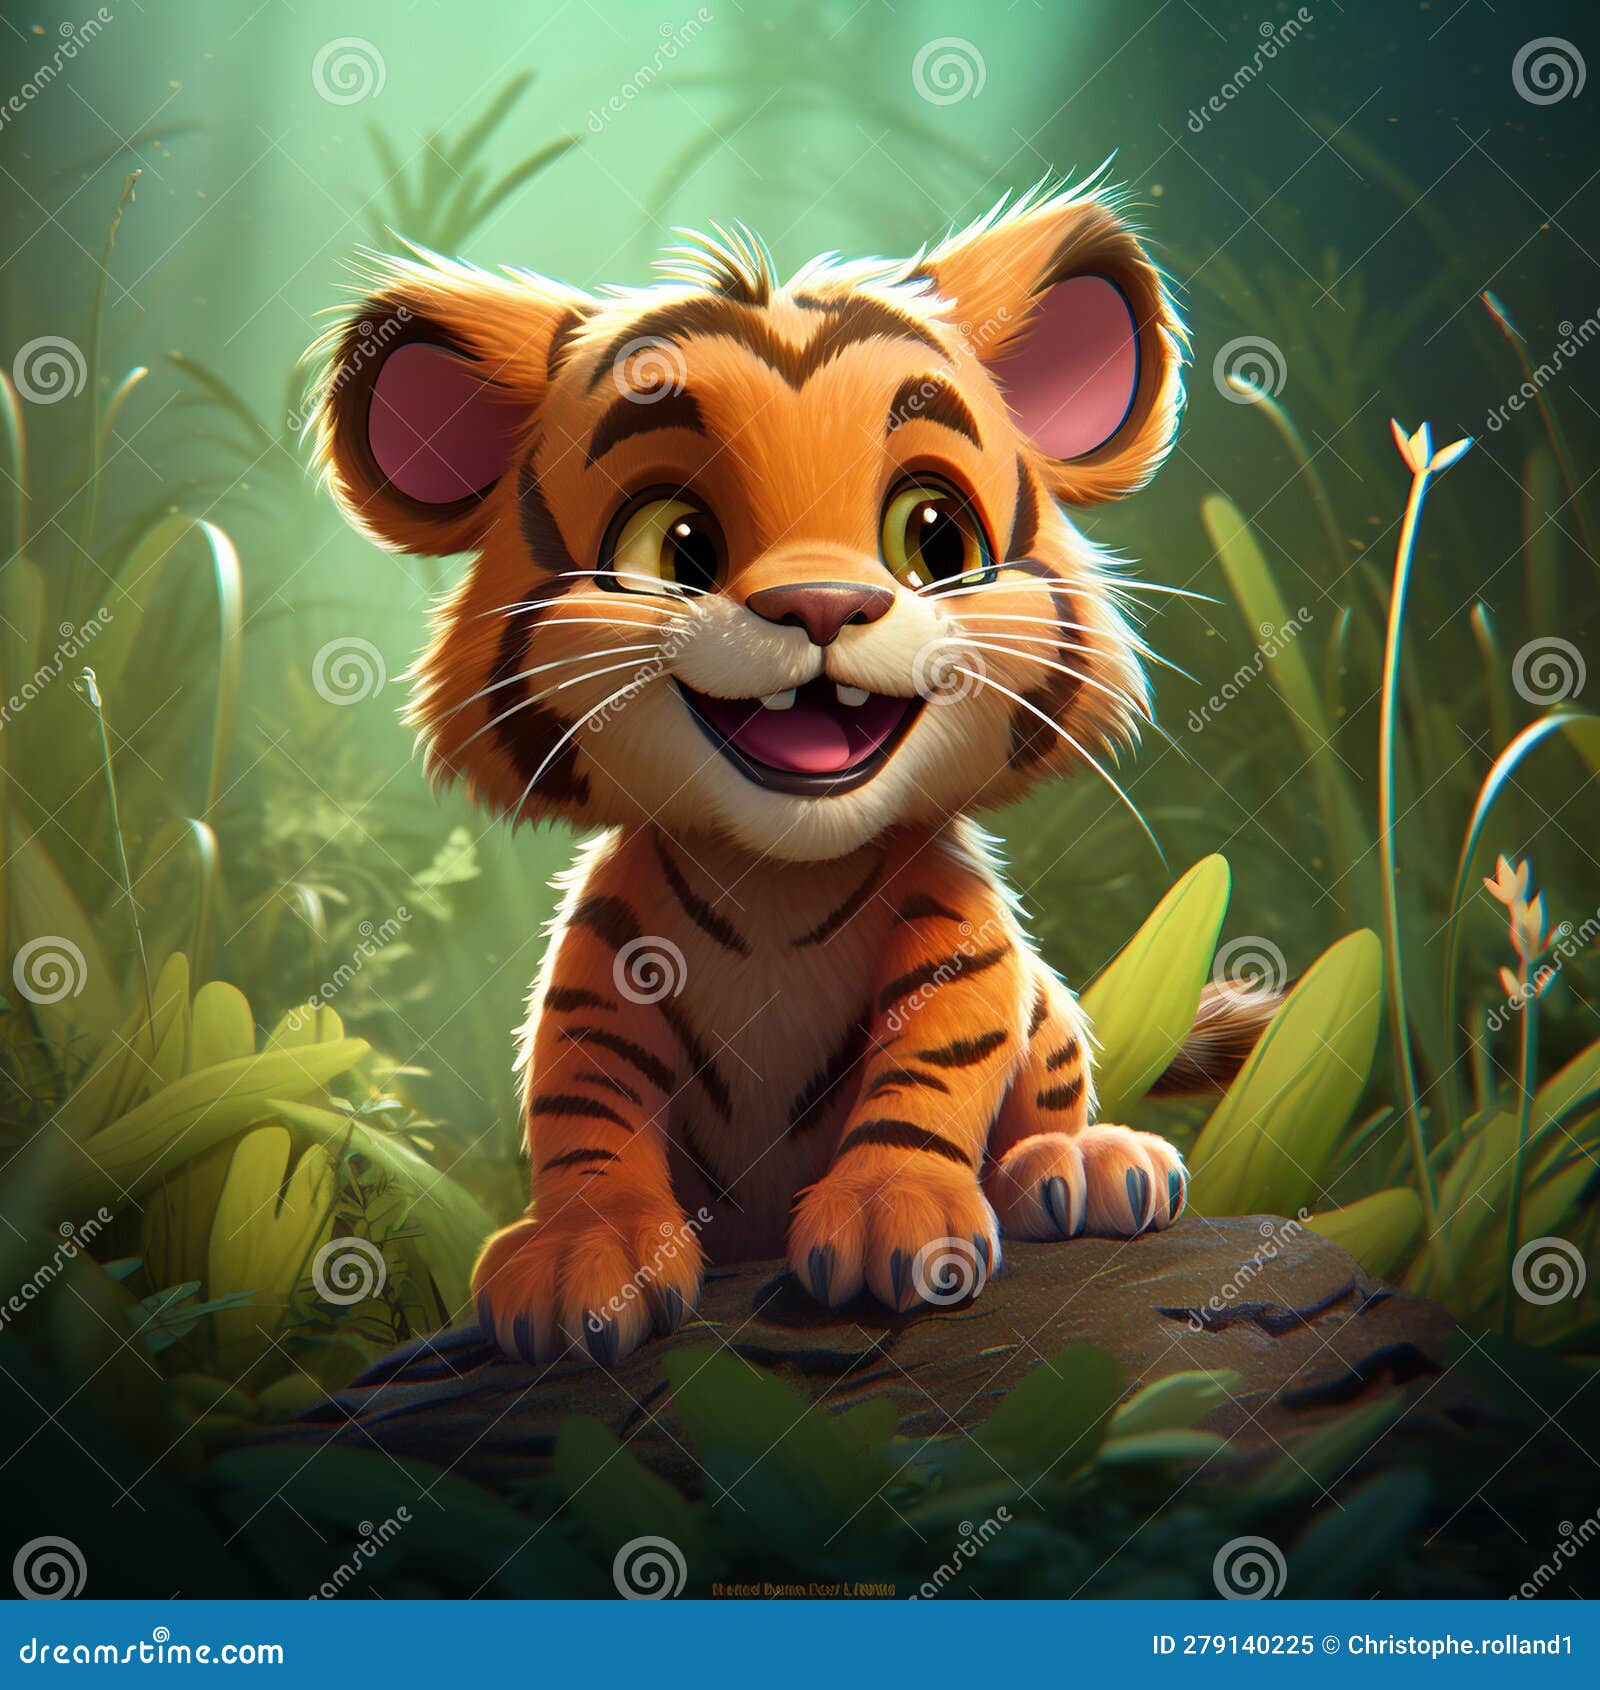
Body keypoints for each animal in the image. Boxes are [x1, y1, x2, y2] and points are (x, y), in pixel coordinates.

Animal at [312, 172, 1277, 1367]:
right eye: (675, 543)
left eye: (933, 533)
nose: (822, 604)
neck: (777, 875)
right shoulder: (598, 978)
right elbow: (586, 1113)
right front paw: (586, 1253)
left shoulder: (967, 952)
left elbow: (933, 1070)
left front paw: (893, 1213)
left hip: (1051, 1013)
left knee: (1051, 1092)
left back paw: (1086, 1165)